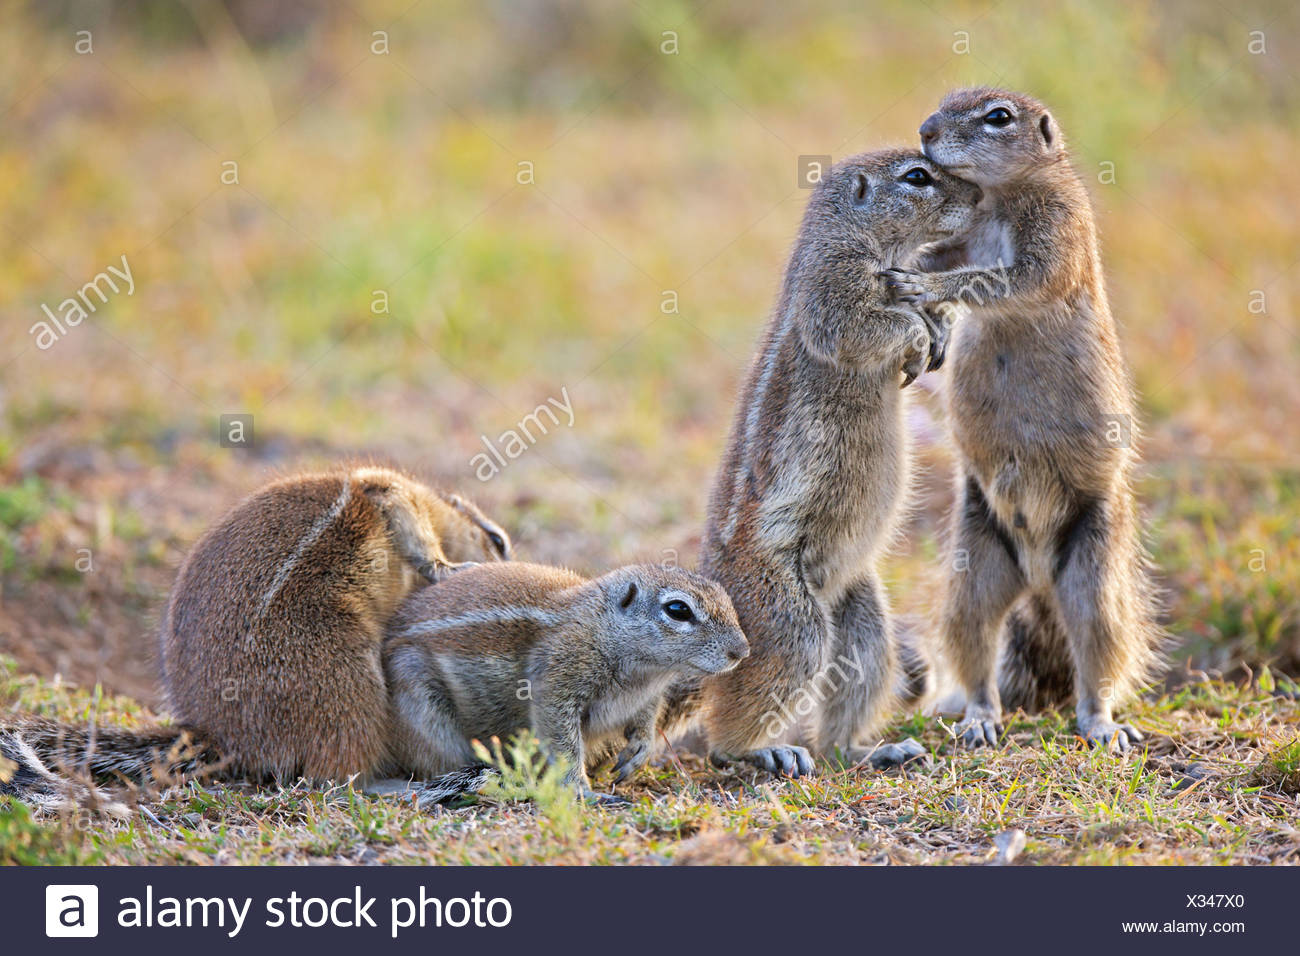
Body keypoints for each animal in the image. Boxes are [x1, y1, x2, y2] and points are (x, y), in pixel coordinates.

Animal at [1, 465, 512, 804]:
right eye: (499, 540)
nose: (506, 564)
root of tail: (219, 735)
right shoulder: (388, 490)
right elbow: (415, 535)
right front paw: (450, 568)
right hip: (343, 676)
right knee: (333, 777)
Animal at [381, 561, 749, 804]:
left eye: (725, 596)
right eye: (678, 609)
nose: (742, 650)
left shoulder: (647, 696)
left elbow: (646, 721)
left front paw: (639, 751)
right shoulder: (558, 683)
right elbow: (563, 744)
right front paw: (583, 791)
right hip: (423, 710)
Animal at [664, 149, 982, 778]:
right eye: (917, 176)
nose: (979, 196)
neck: (858, 236)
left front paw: (943, 330)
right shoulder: (832, 286)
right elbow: (862, 325)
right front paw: (918, 336)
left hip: (862, 615)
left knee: (847, 697)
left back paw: (870, 749)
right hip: (790, 620)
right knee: (725, 730)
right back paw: (767, 750)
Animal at [881, 88, 1164, 751]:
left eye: (998, 117)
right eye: (943, 99)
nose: (925, 130)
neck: (1003, 196)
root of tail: (1036, 576)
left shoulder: (1054, 234)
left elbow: (999, 279)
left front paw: (921, 285)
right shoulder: (963, 237)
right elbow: (954, 261)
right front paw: (928, 309)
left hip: (1093, 579)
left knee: (1098, 657)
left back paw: (1101, 724)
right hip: (976, 572)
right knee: (975, 651)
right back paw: (981, 718)